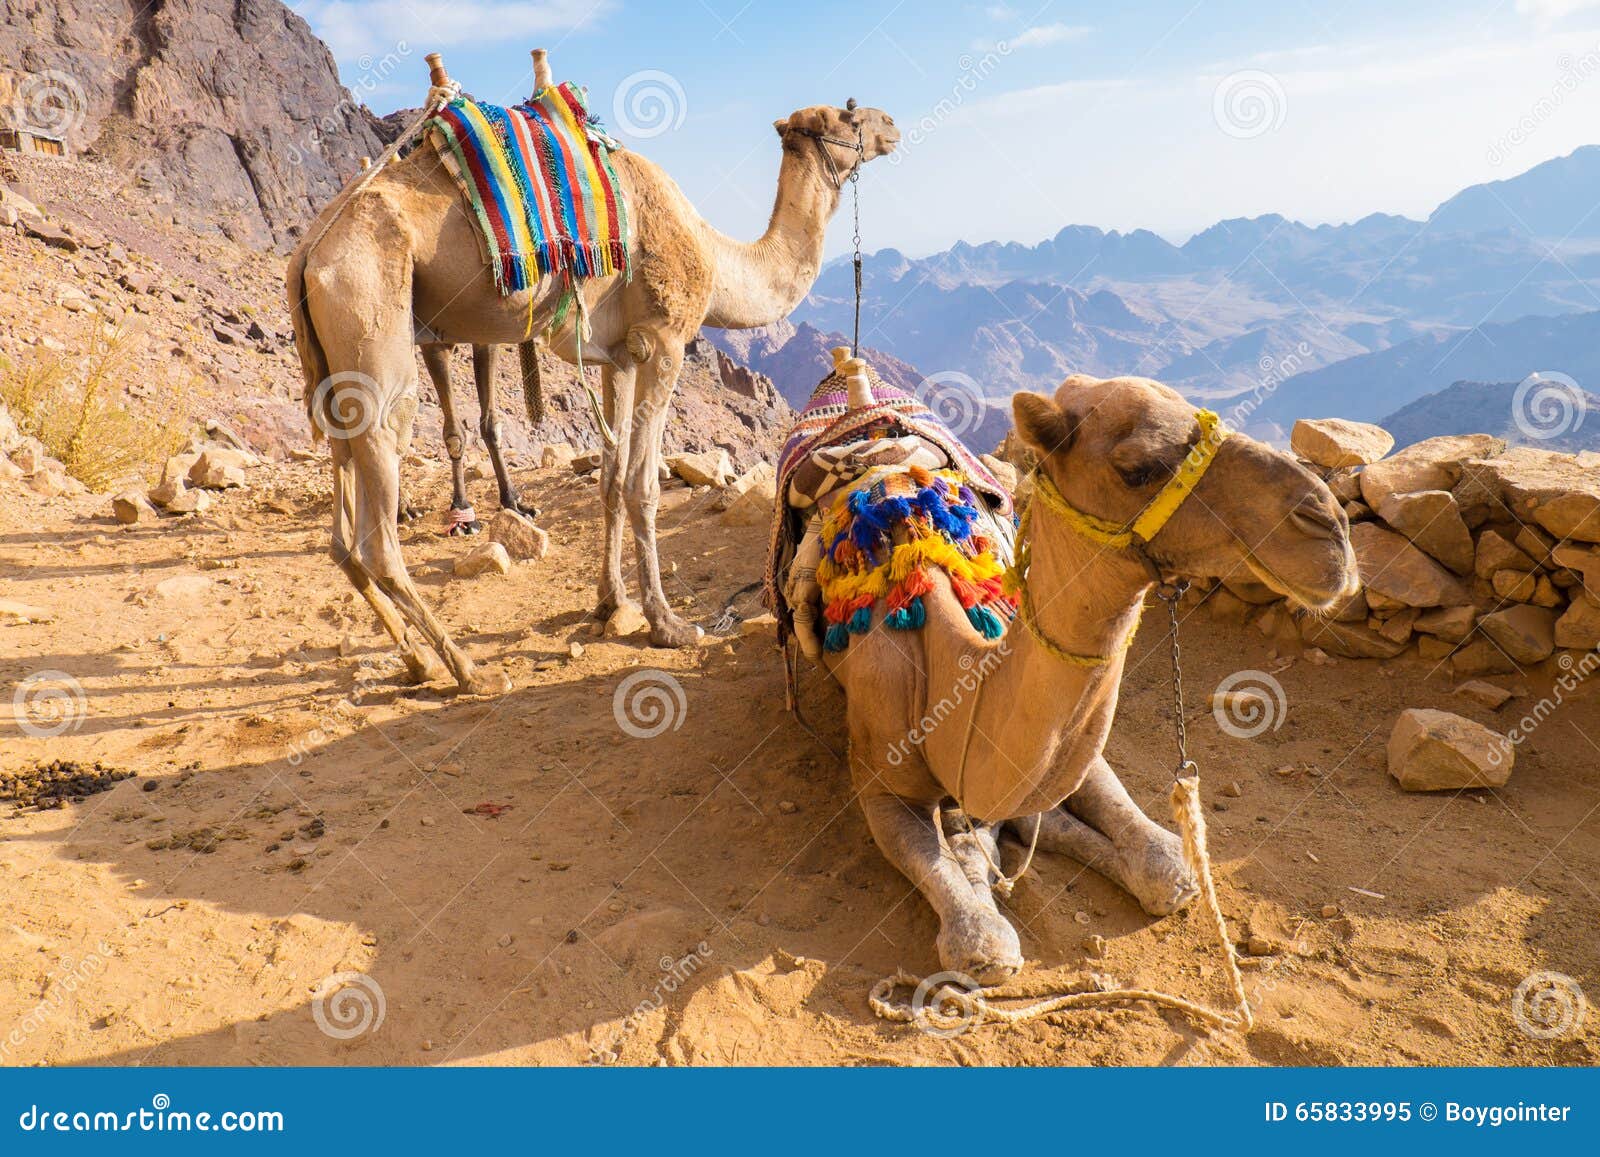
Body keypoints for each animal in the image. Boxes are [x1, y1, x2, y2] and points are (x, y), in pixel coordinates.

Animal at [287, 60, 899, 694]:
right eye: (850, 115)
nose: (893, 126)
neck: (714, 254)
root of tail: (308, 253)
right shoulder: (664, 341)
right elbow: (642, 485)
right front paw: (668, 623)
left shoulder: (618, 359)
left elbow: (608, 481)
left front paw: (609, 602)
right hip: (370, 321)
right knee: (378, 535)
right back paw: (470, 671)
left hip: (334, 366)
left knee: (341, 537)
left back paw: (419, 659)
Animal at [823, 375, 1359, 982]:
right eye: (1138, 469)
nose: (1331, 530)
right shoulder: (879, 783)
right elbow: (978, 937)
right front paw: (977, 895)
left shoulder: (1080, 756)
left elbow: (1168, 869)